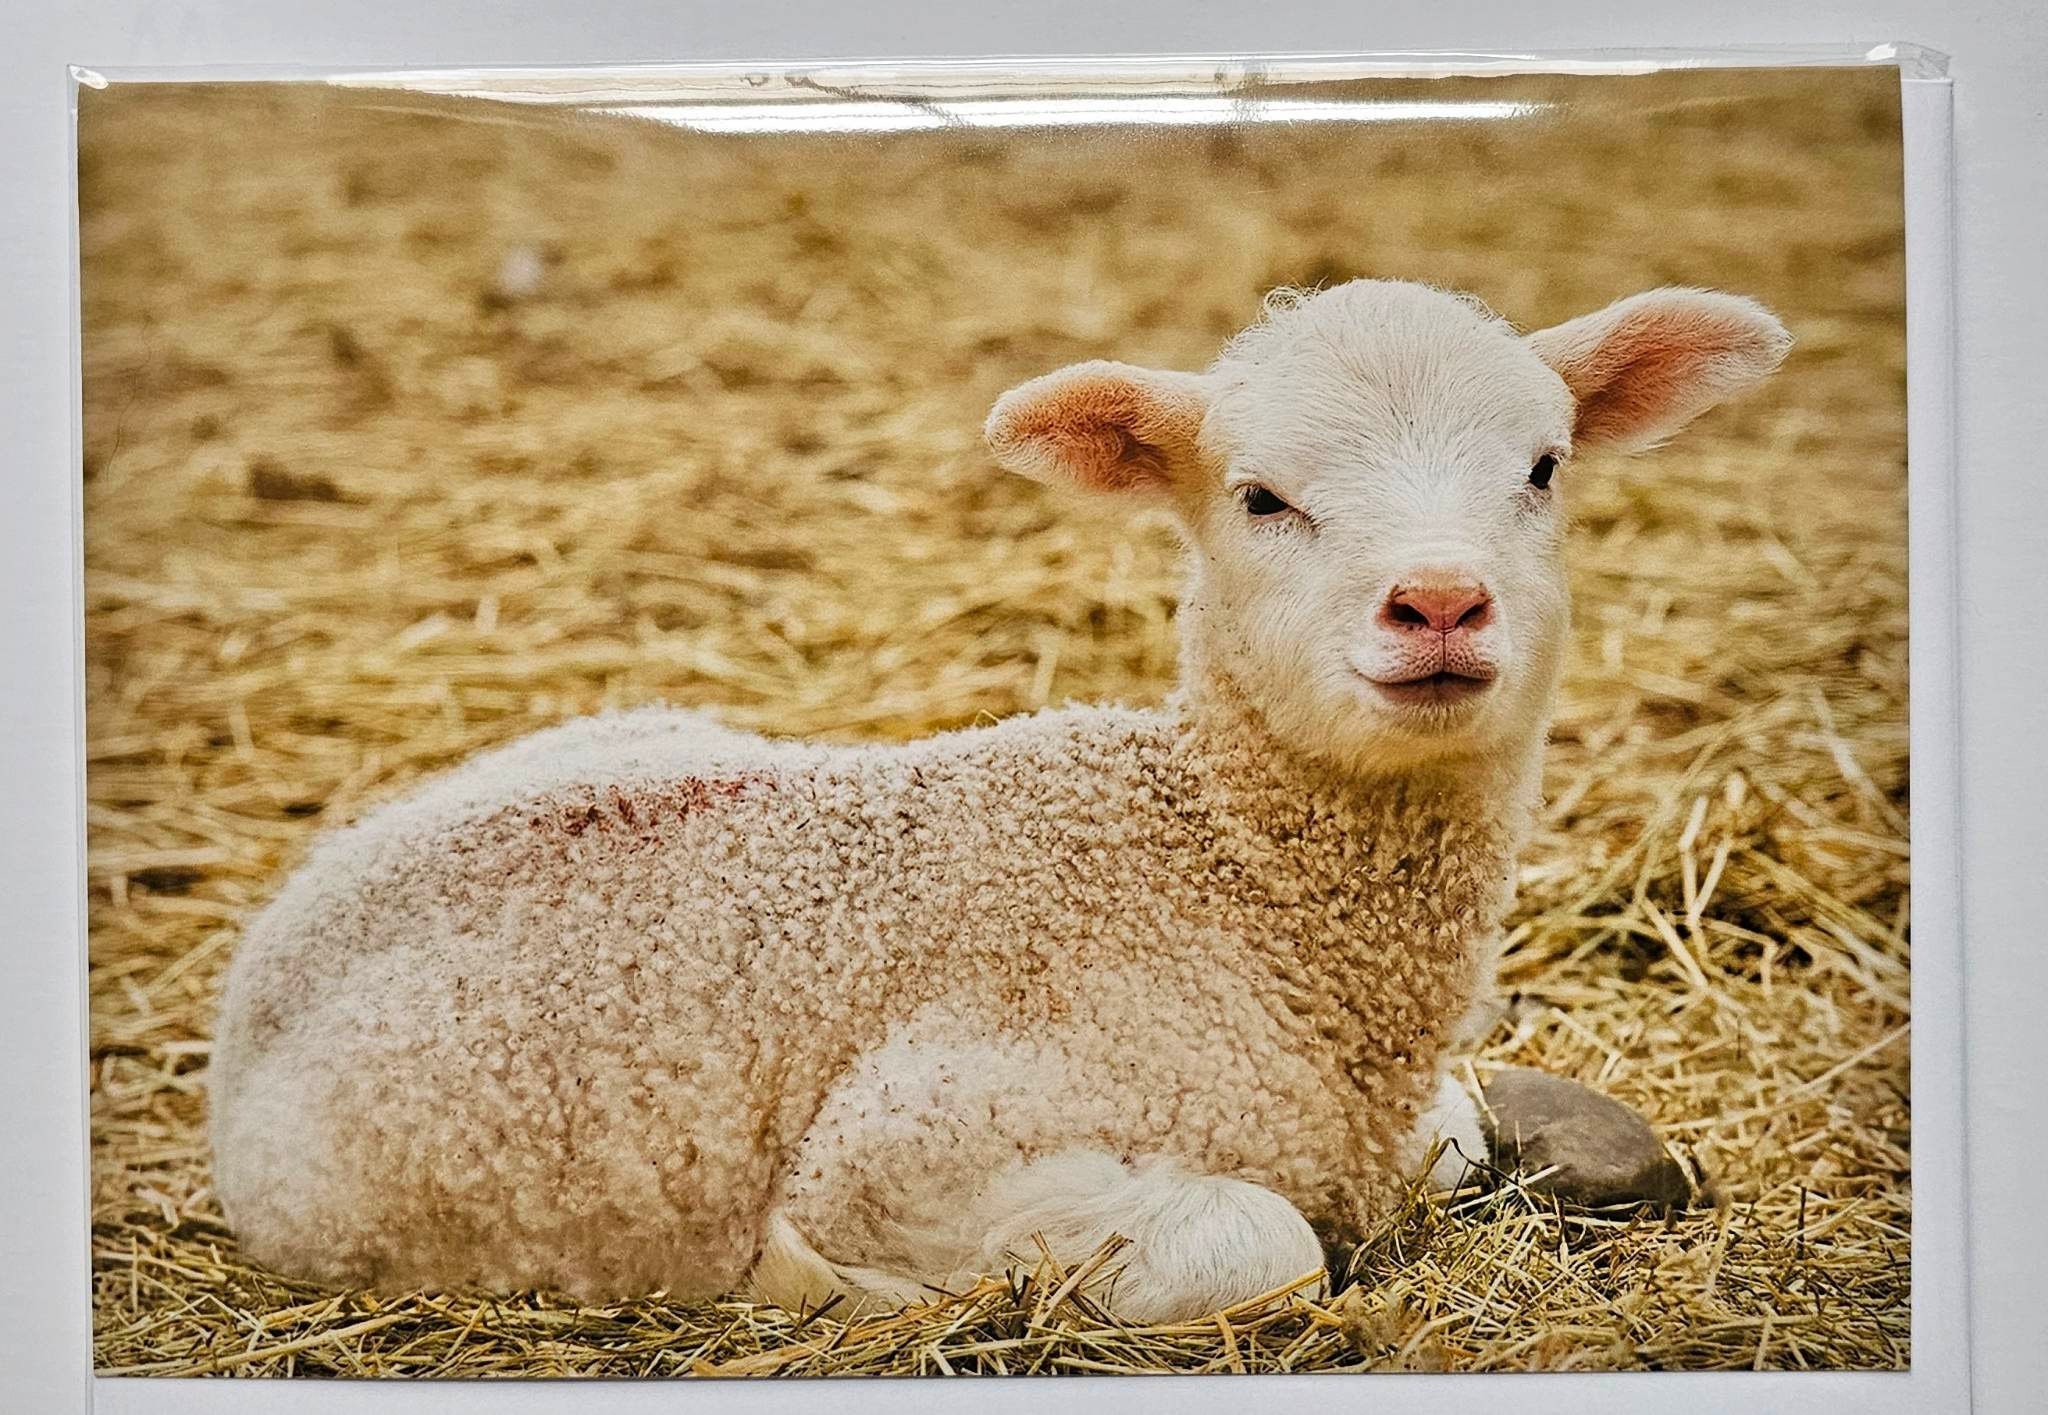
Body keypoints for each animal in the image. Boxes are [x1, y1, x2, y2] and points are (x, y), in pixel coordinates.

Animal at [209, 278, 1789, 1323]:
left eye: (1544, 466)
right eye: (1261, 497)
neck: (1224, 880)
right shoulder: (910, 1132)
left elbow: (1451, 1136)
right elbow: (1260, 1240)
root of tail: (286, 923)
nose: (1442, 601)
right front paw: (820, 1277)